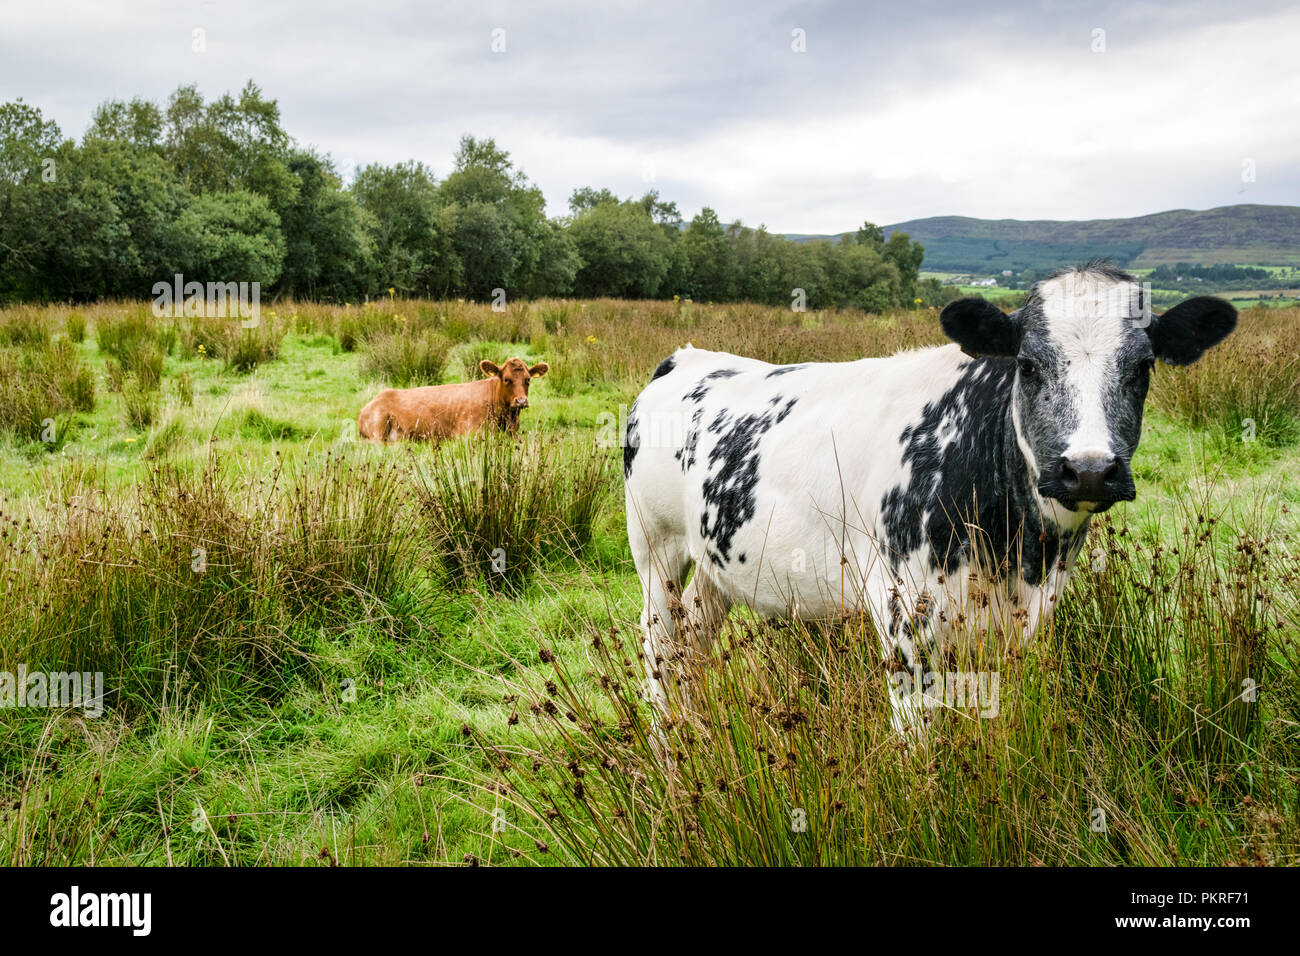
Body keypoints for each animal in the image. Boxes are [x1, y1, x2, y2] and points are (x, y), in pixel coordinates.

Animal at [623, 263, 1236, 732]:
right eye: (1028, 364)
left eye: (1144, 366)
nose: (1088, 471)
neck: (1017, 547)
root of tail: (688, 356)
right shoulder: (905, 615)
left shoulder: (1025, 620)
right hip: (654, 550)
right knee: (660, 651)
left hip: (714, 563)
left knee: (694, 641)